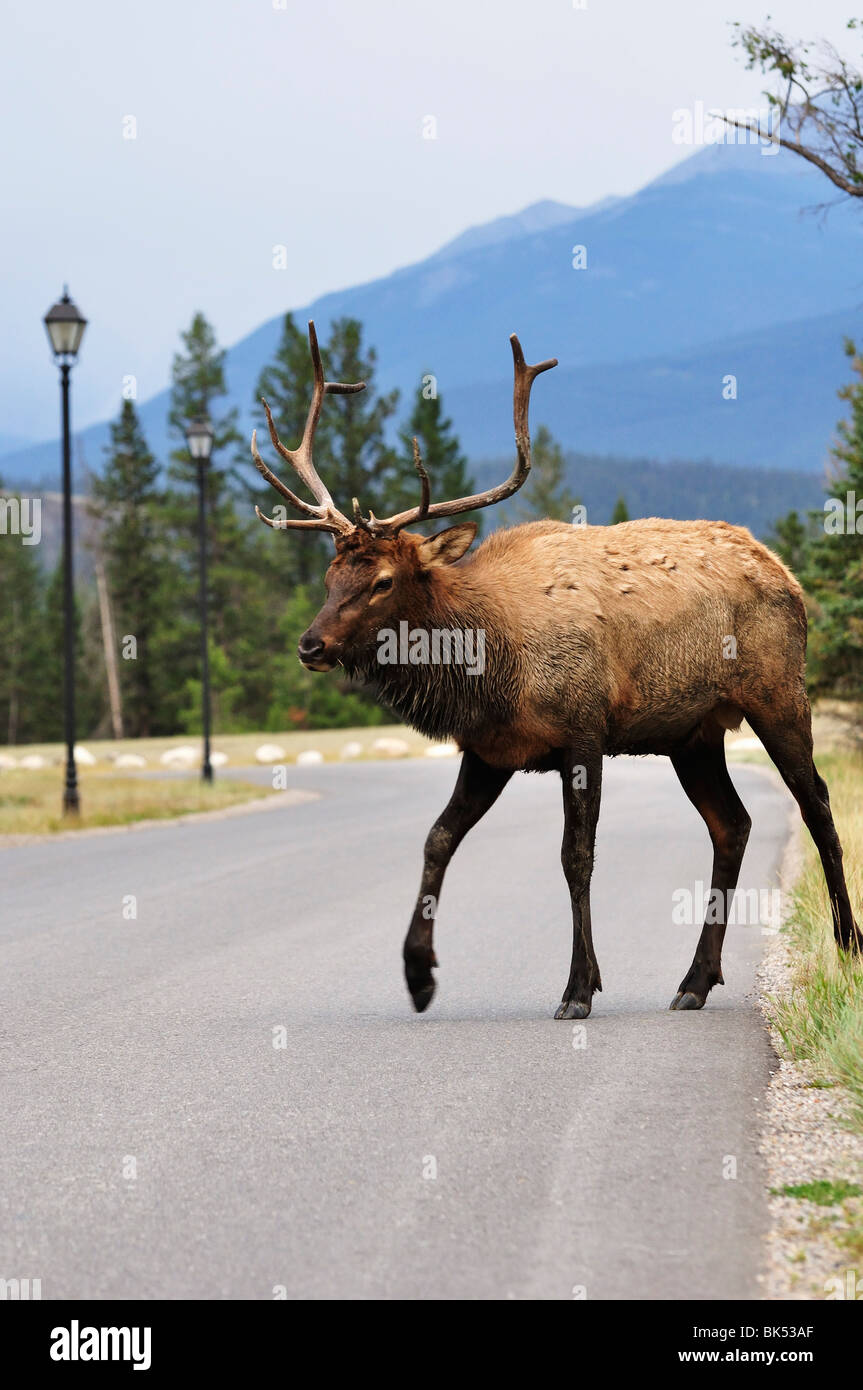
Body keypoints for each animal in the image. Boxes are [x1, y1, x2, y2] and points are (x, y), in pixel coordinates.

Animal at [251, 320, 861, 1019]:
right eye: (331, 575)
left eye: (381, 580)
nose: (311, 644)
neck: (492, 666)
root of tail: (786, 573)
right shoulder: (489, 749)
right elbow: (438, 837)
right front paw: (418, 973)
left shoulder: (583, 731)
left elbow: (577, 856)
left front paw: (578, 987)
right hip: (694, 732)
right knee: (732, 824)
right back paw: (695, 980)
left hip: (778, 692)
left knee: (817, 803)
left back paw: (846, 948)